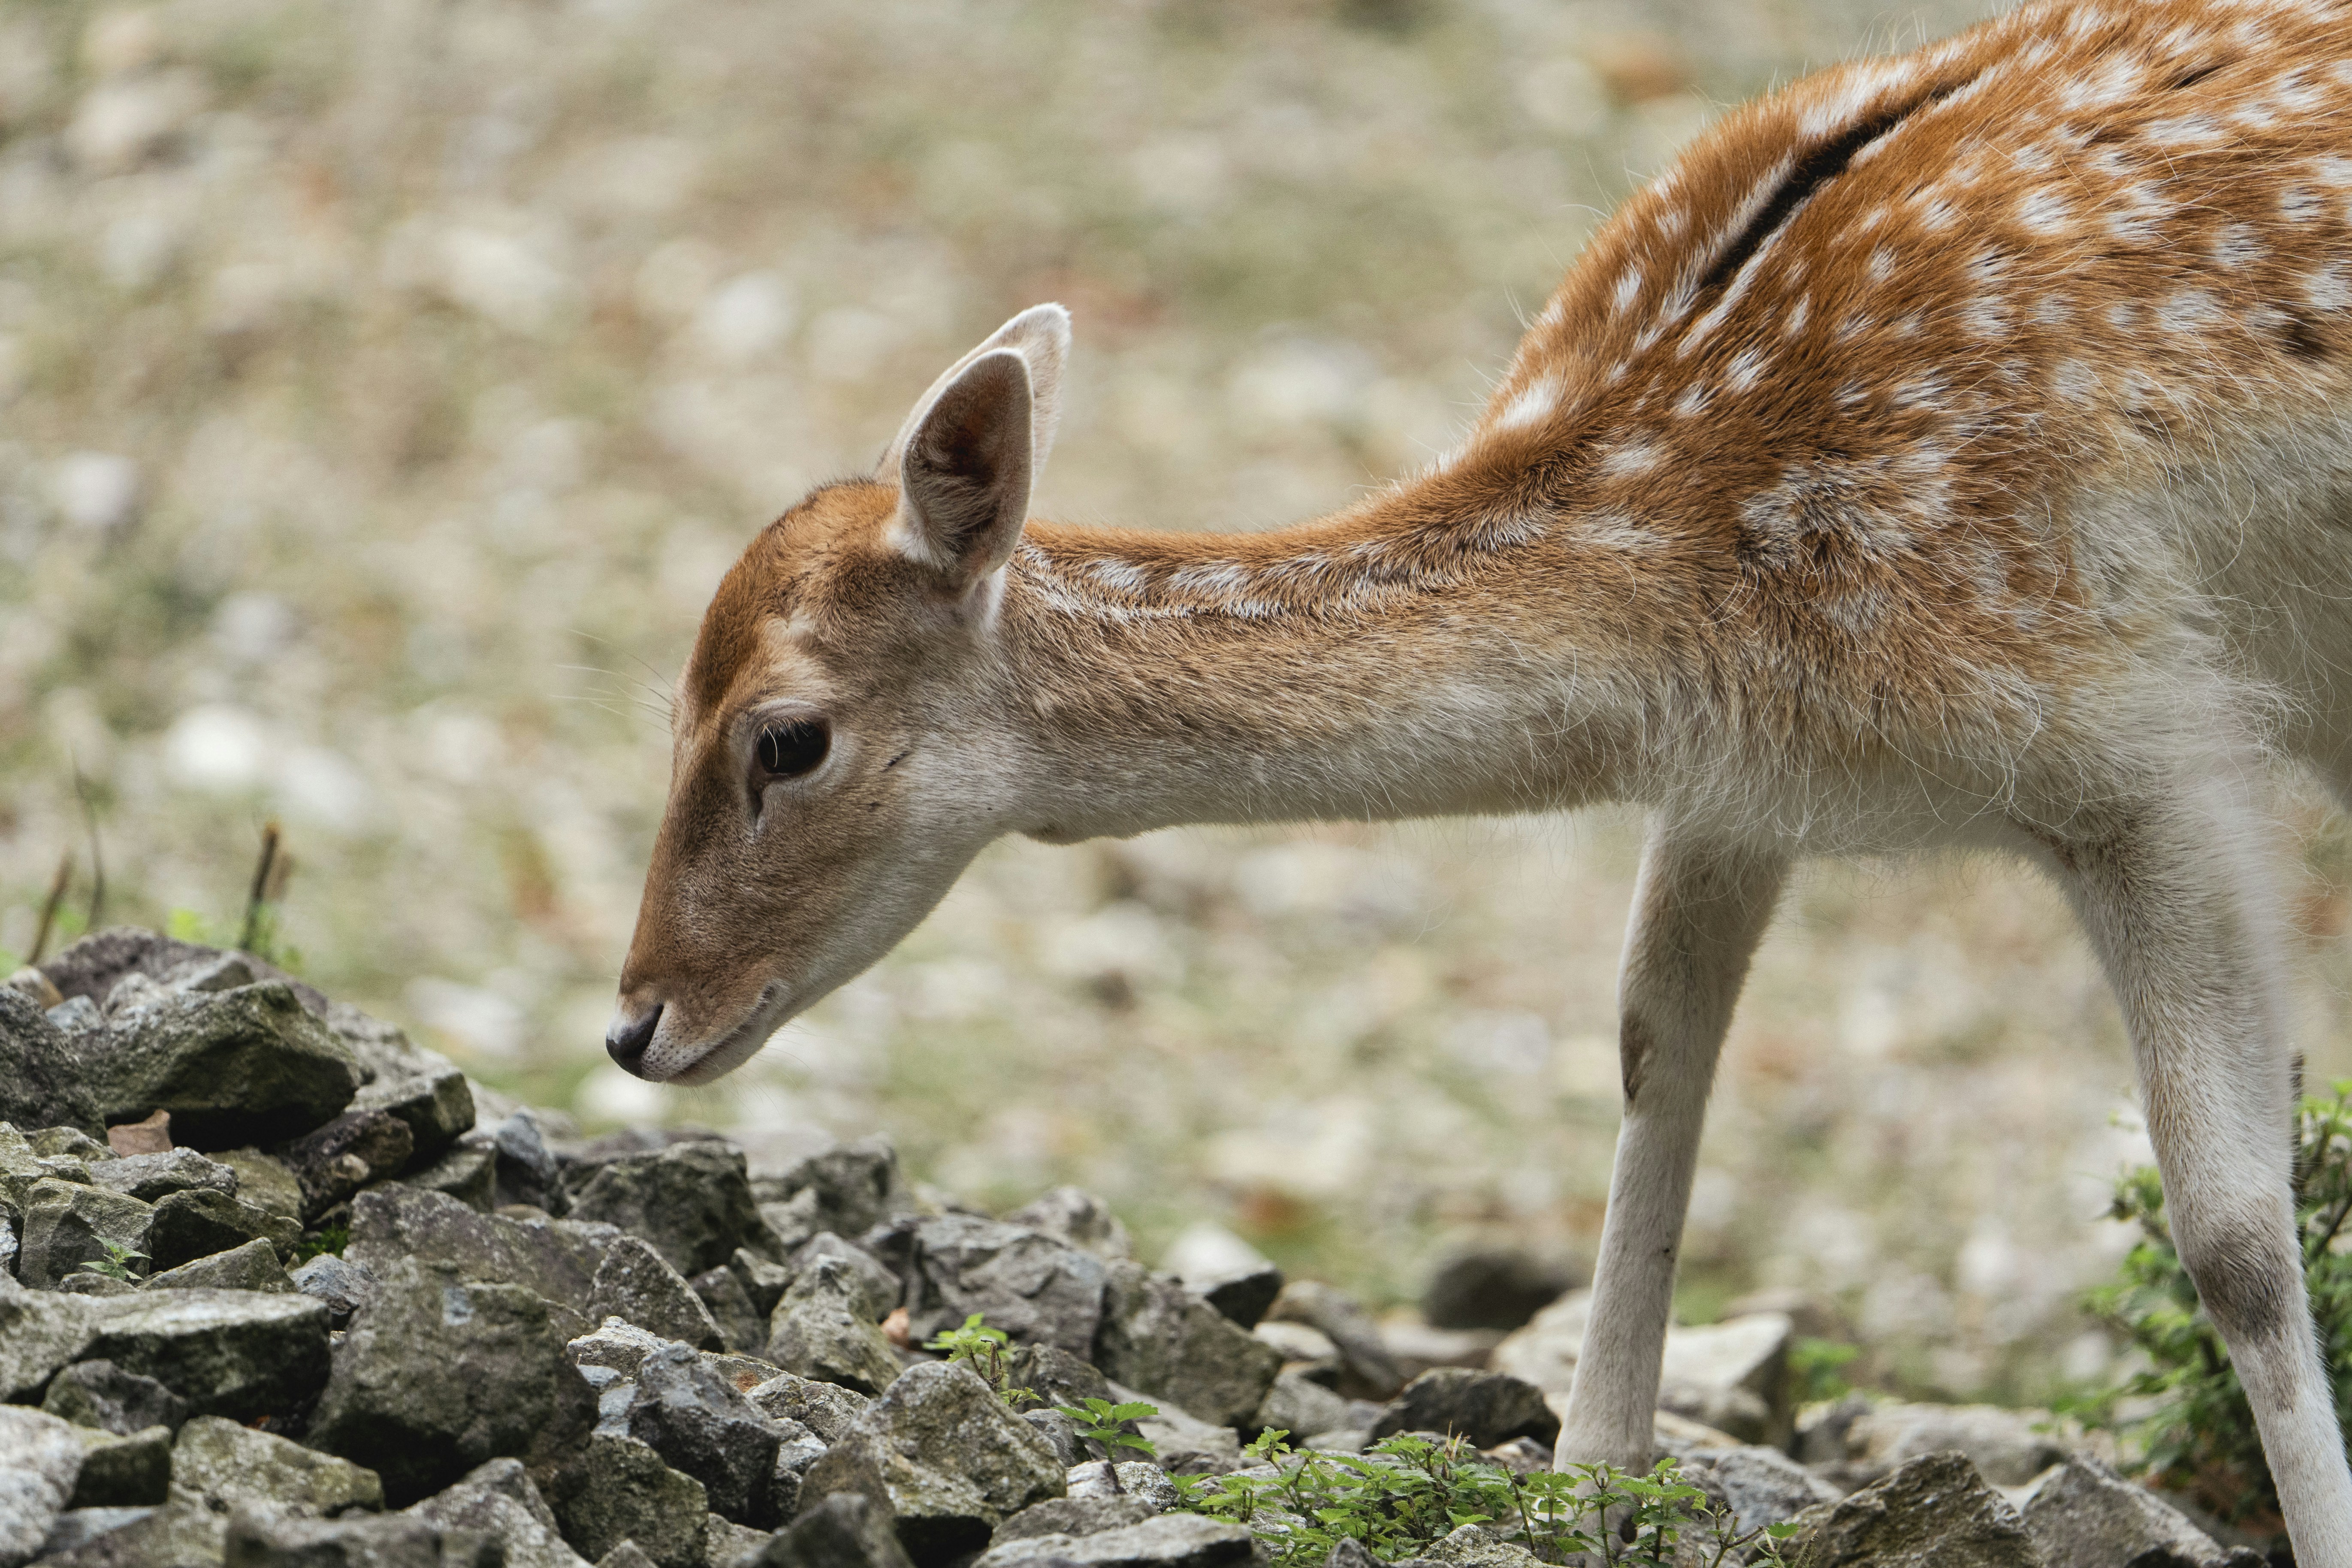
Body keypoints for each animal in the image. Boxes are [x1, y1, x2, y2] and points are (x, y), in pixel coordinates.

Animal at [607, 0, 2352, 1555]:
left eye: (786, 737)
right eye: (671, 701)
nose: (636, 1023)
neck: (1696, 581)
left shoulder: (2138, 738)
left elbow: (2231, 1237)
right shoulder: (1738, 786)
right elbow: (1654, 1054)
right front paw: (1588, 1486)